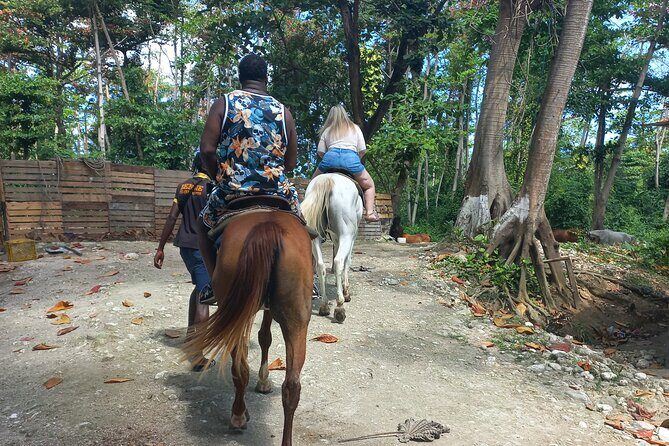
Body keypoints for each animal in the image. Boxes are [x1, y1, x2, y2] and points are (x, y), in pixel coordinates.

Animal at [184, 210, 312, 446]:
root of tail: (268, 226)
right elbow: (265, 337)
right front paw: (263, 381)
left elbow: (263, 338)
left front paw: (261, 382)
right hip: (296, 318)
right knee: (292, 385)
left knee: (240, 368)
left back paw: (238, 415)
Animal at [301, 174, 363, 323]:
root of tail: (327, 180)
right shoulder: (351, 237)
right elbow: (347, 261)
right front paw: (346, 292)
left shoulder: (335, 236)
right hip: (346, 234)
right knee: (339, 261)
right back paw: (340, 307)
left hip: (316, 237)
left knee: (320, 265)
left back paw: (324, 306)